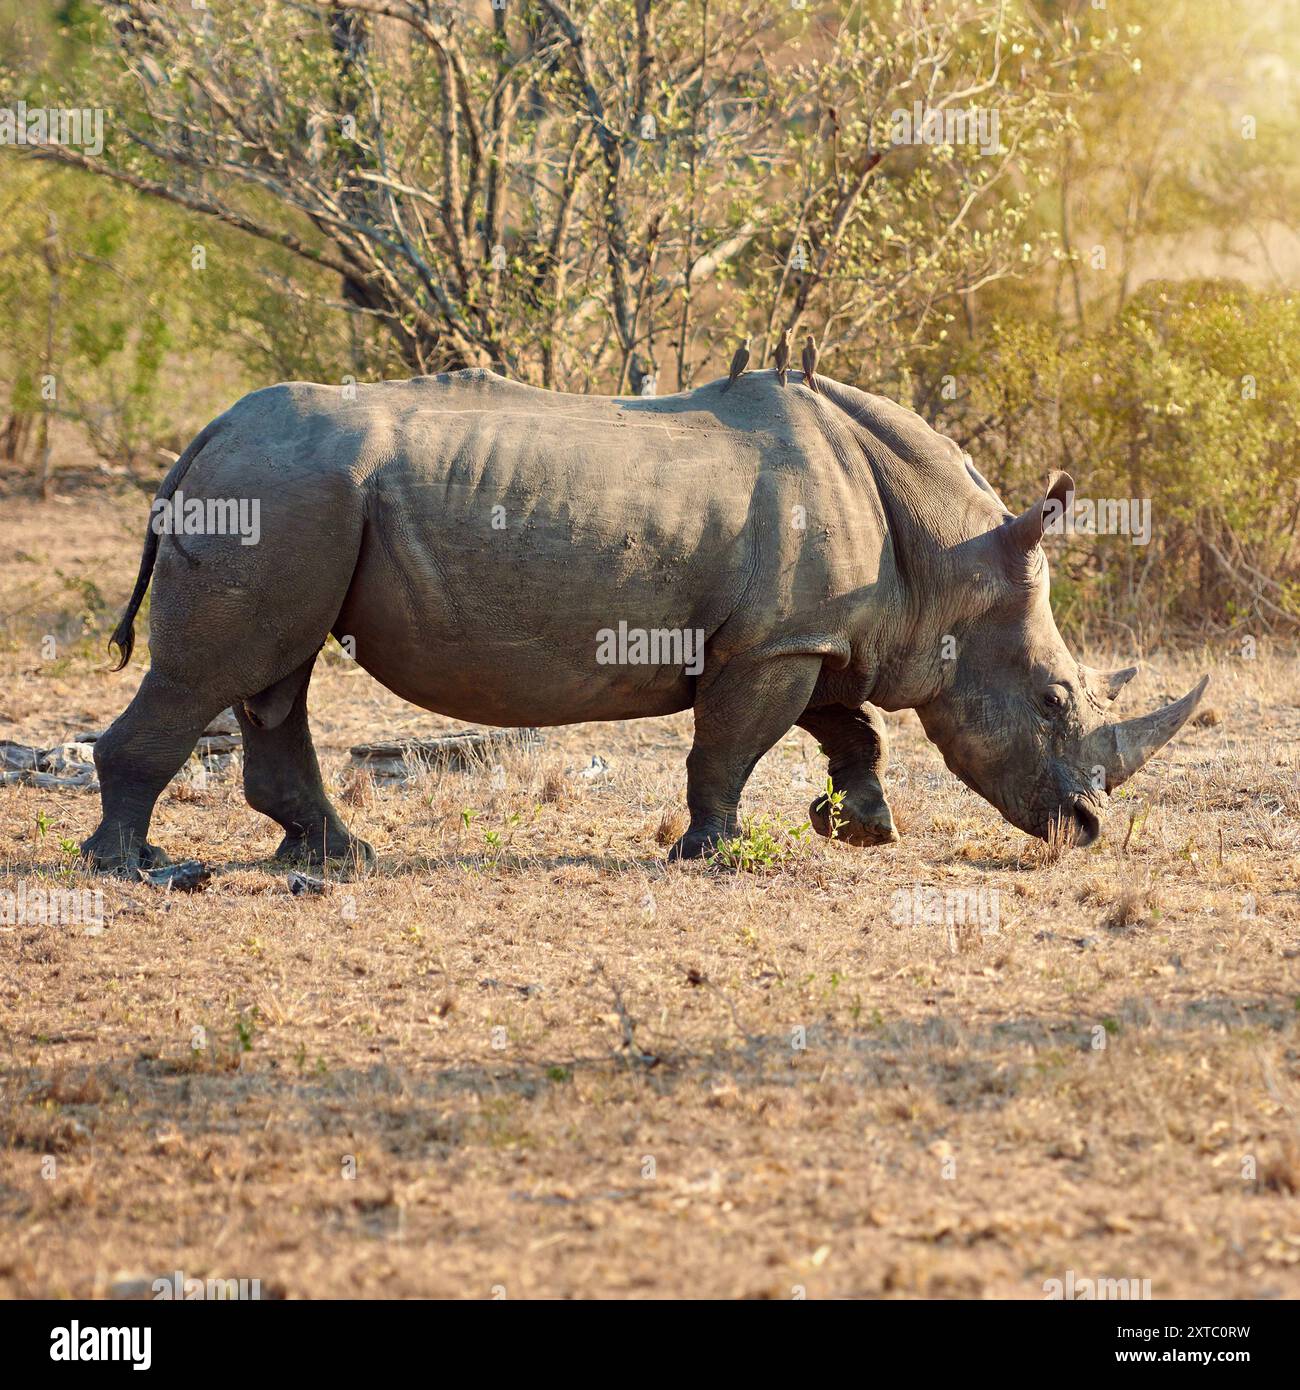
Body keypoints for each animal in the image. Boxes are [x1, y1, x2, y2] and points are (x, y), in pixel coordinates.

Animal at [80, 368, 1206, 872]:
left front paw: (860, 828)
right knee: (217, 673)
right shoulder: (776, 642)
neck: (947, 557)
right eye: (1054, 700)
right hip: (277, 493)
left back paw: (333, 859)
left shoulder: (807, 633)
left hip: (291, 494)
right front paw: (707, 853)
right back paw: (138, 869)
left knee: (274, 678)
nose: (1085, 829)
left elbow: (852, 726)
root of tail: (204, 434)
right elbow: (730, 746)